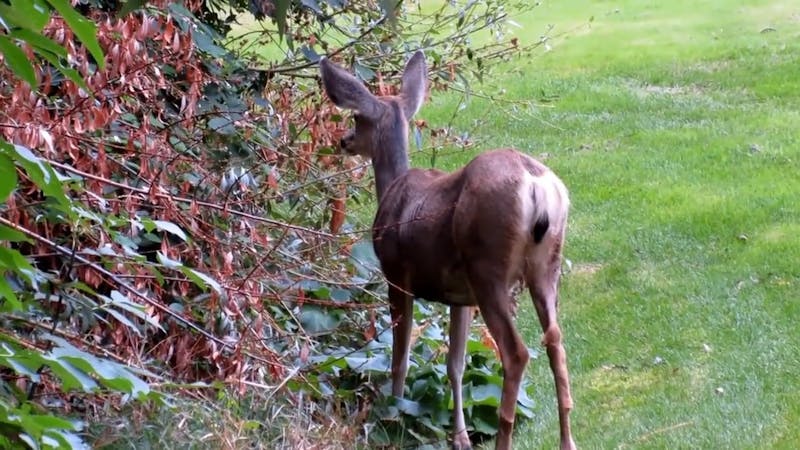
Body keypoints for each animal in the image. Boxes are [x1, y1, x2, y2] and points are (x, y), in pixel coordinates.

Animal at [319, 51, 576, 450]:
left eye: (357, 118)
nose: (344, 141)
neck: (392, 187)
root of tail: (537, 185)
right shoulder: (460, 298)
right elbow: (455, 364)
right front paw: (460, 437)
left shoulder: (396, 275)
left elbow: (401, 355)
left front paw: (394, 414)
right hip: (546, 266)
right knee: (556, 344)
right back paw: (568, 441)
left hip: (489, 268)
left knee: (517, 353)